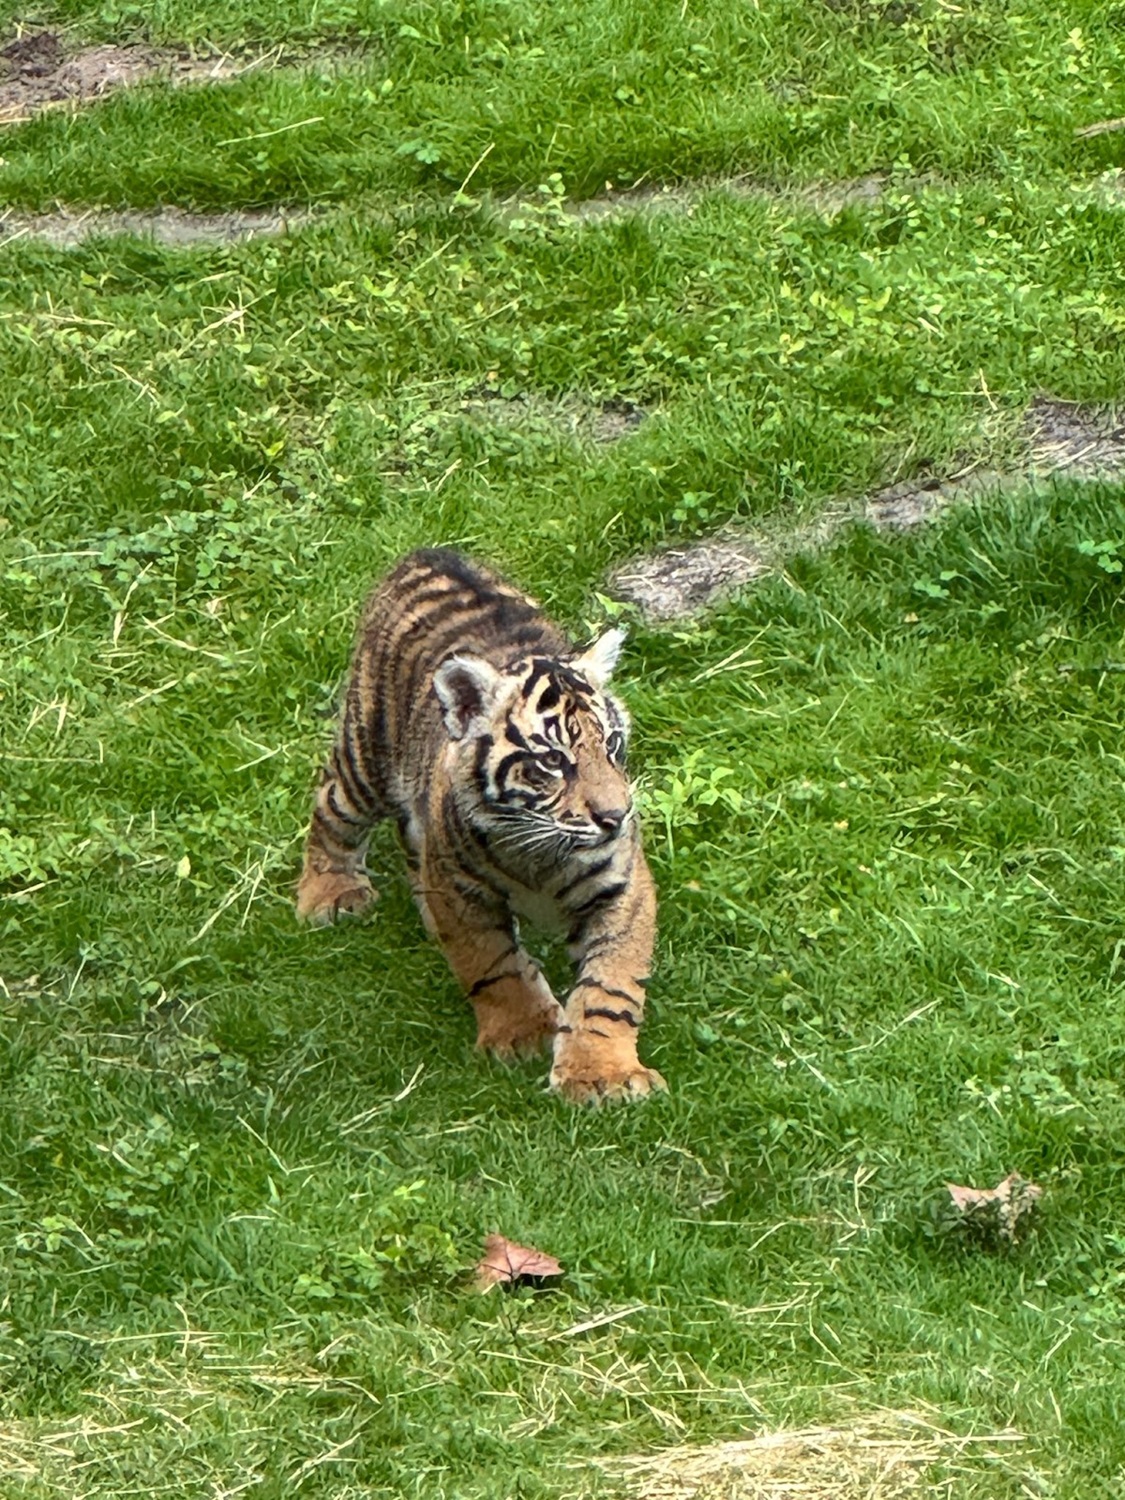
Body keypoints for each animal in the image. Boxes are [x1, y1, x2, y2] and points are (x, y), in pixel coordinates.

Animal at [296, 547, 665, 1104]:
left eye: (613, 745)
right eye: (553, 761)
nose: (616, 817)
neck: (539, 852)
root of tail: (425, 552)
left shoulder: (623, 888)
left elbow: (609, 985)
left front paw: (601, 1072)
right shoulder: (463, 889)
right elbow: (494, 965)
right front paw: (524, 1034)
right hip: (366, 758)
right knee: (332, 809)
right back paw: (329, 891)